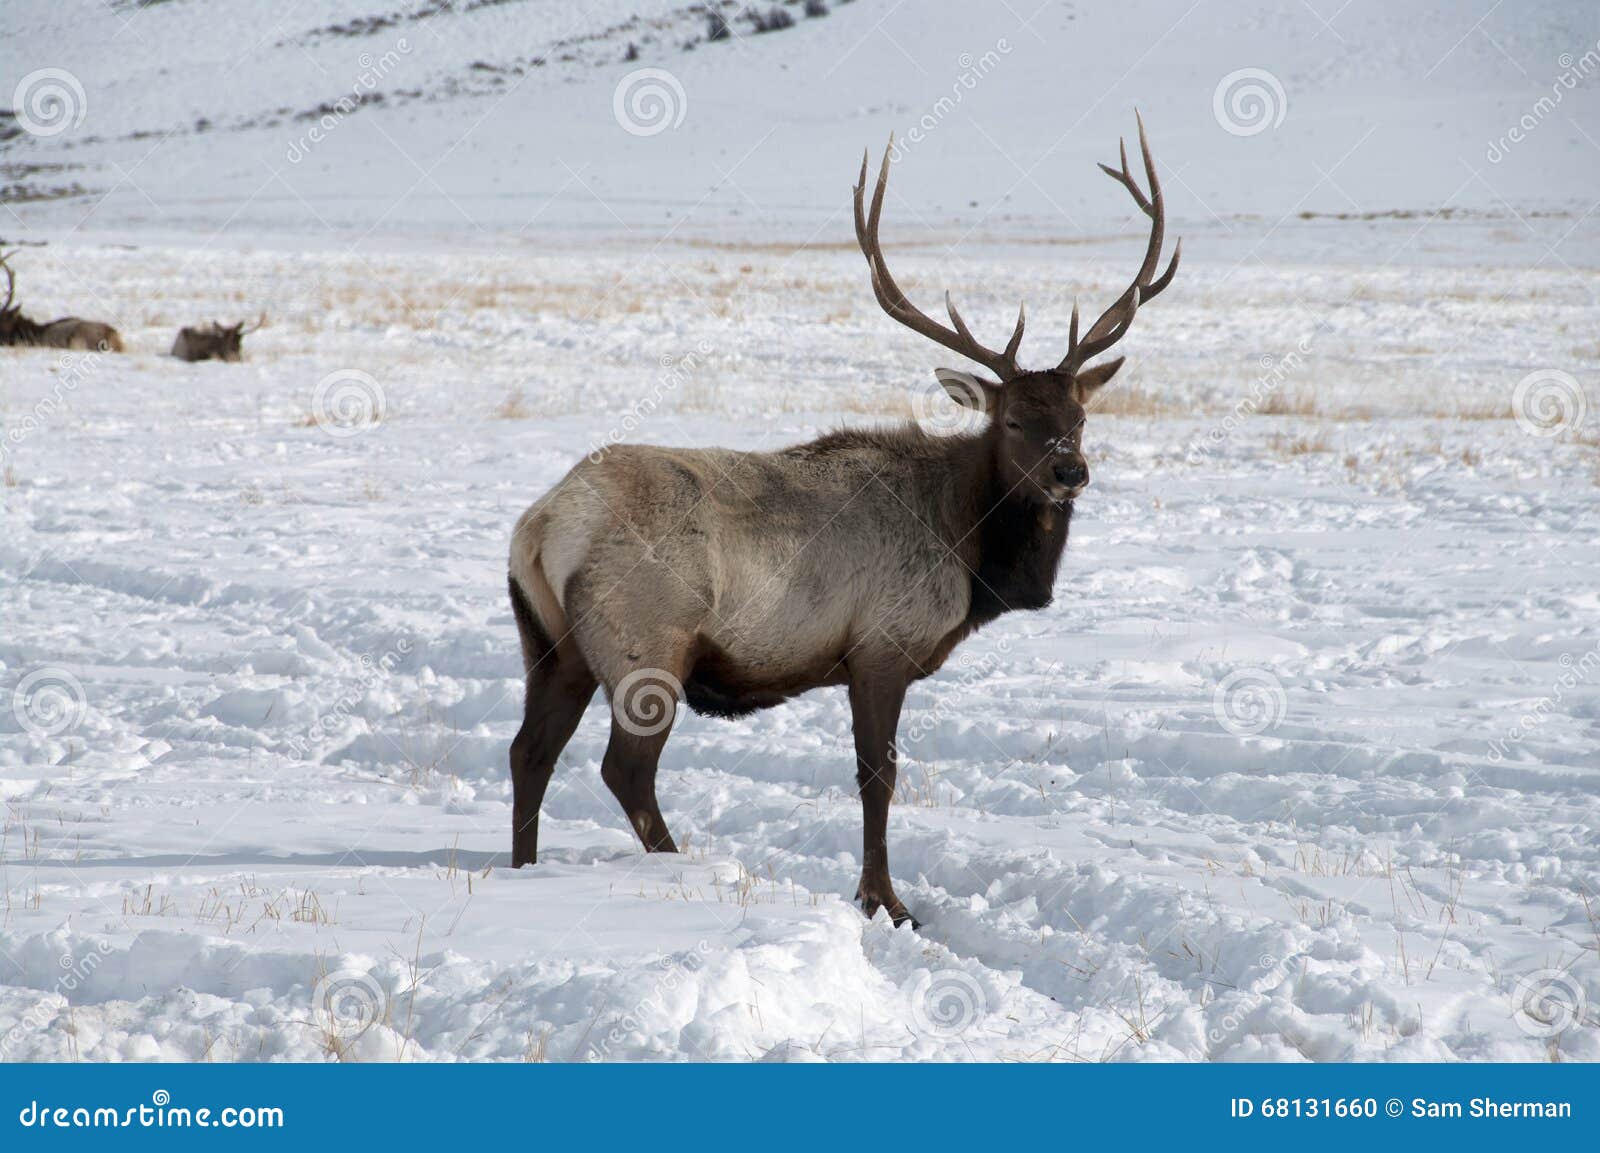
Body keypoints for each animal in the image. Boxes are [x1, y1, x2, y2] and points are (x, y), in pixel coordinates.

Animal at [505, 114, 1179, 927]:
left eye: (1079, 419)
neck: (971, 552)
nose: (1069, 473)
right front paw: (886, 901)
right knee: (623, 768)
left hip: (551, 643)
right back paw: (681, 865)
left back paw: (523, 870)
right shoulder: (881, 645)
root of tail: (541, 527)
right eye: (1014, 420)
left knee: (529, 750)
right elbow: (876, 777)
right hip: (647, 643)